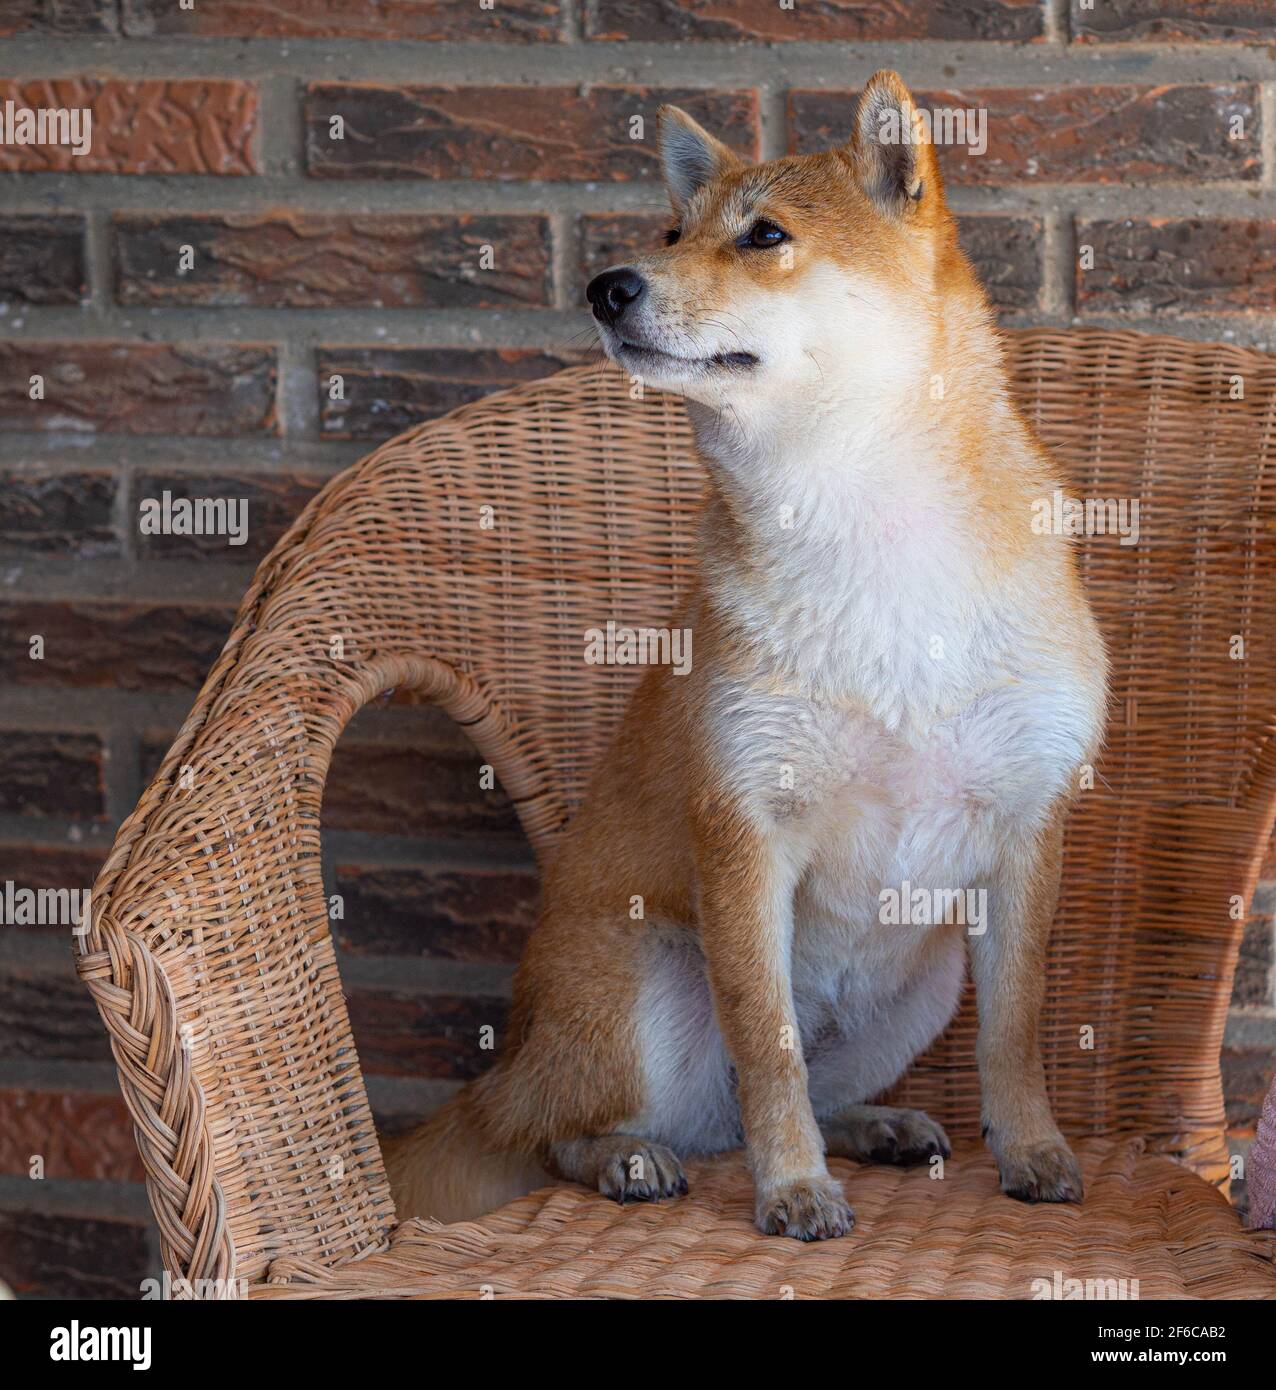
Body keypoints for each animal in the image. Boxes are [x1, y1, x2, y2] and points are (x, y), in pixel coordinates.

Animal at [384, 70, 1108, 1241]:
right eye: (675, 232)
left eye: (765, 235)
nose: (608, 287)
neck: (870, 538)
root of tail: (510, 1060)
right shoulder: (745, 822)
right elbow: (769, 1051)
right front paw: (792, 1188)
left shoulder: (1025, 825)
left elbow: (1016, 1033)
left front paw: (1034, 1151)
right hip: (641, 986)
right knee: (569, 1133)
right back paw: (630, 1156)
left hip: (924, 981)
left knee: (803, 1087)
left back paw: (872, 1123)